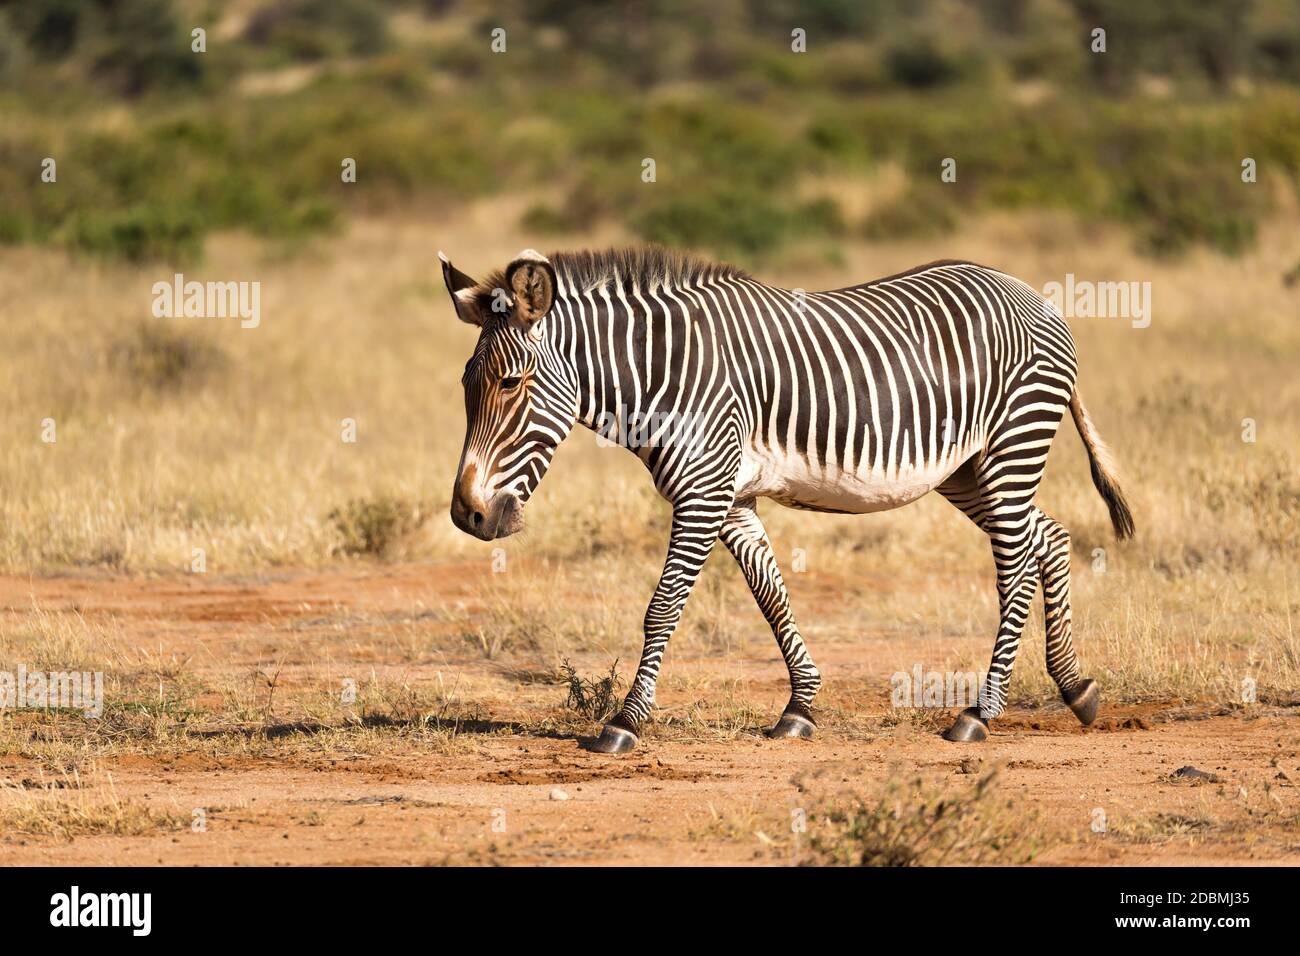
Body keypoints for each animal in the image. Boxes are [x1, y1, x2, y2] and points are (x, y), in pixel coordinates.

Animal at [441, 246, 1134, 753]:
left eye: (512, 383)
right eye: (466, 384)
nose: (467, 515)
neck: (664, 374)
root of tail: (1032, 295)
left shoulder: (702, 490)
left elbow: (662, 610)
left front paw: (626, 722)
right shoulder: (731, 497)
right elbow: (771, 596)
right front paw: (800, 707)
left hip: (1012, 444)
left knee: (1015, 567)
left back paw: (979, 713)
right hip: (968, 470)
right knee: (1050, 538)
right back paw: (1077, 688)